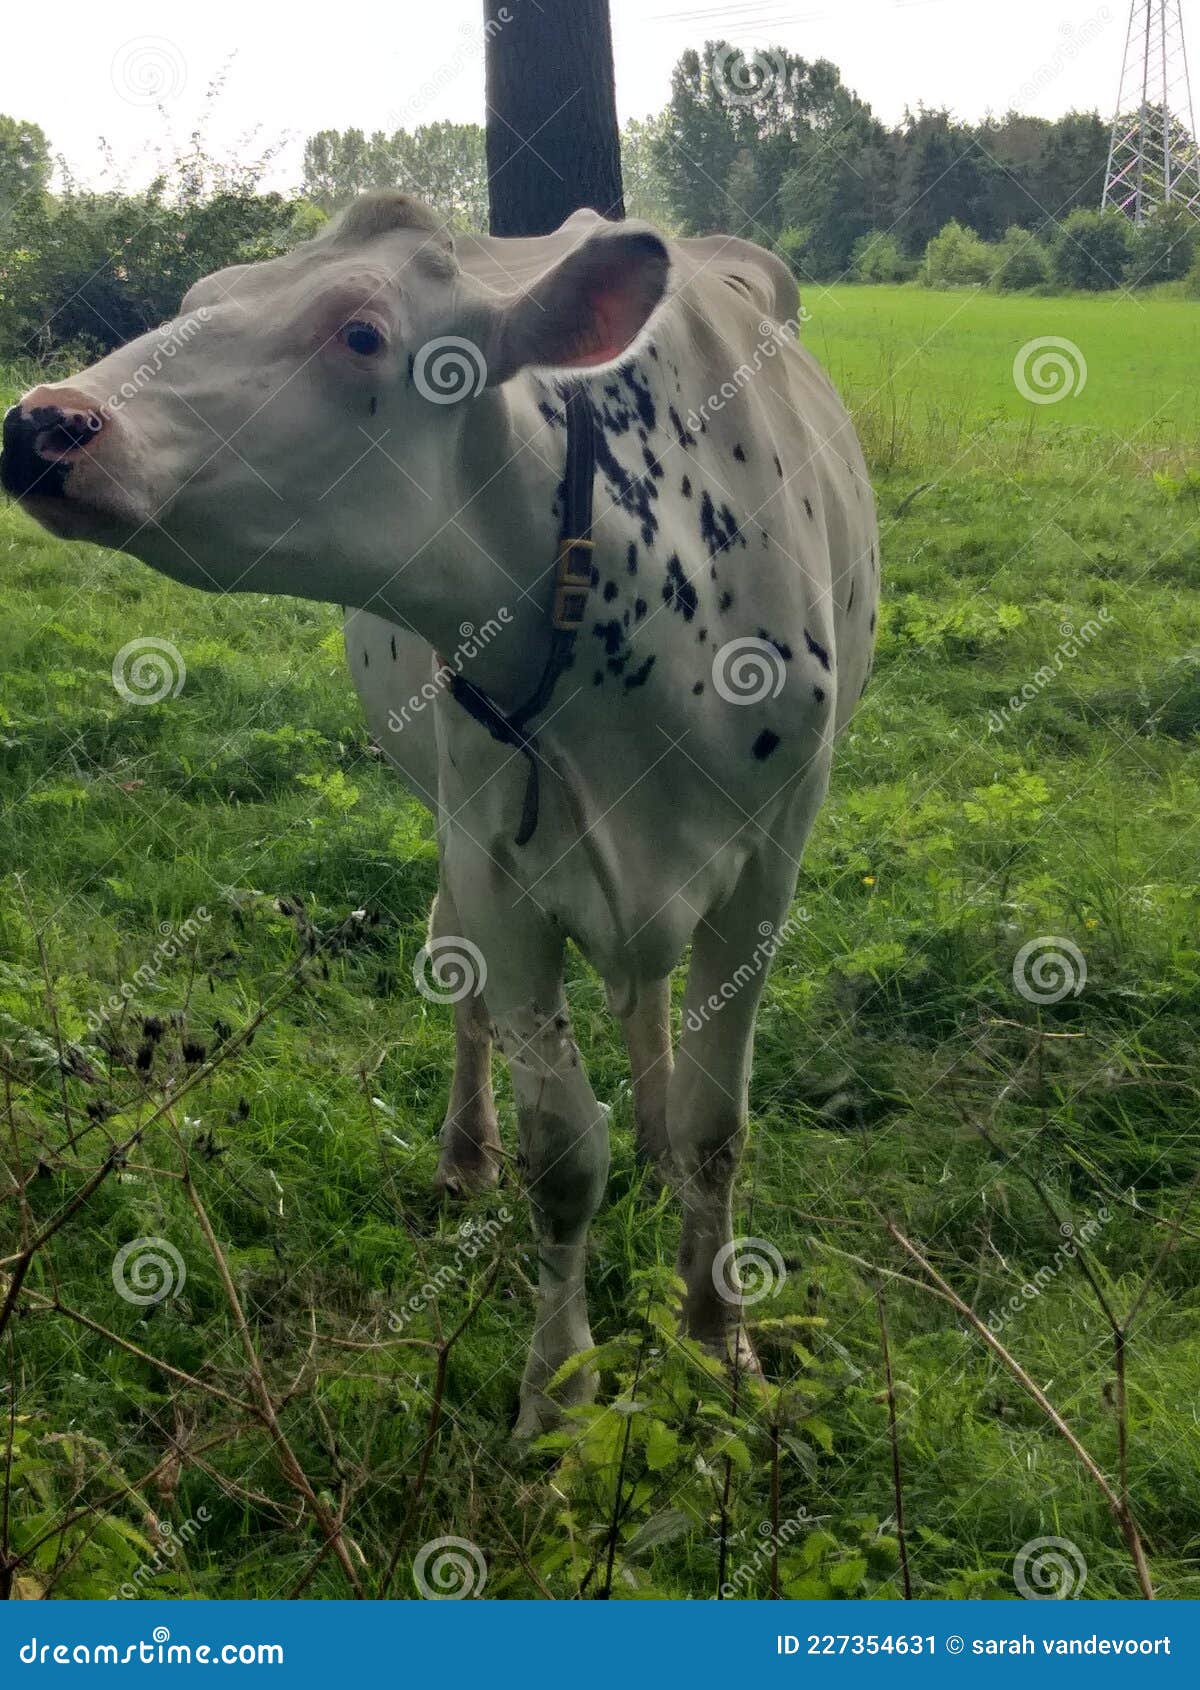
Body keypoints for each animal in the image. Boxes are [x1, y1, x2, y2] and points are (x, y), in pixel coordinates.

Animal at [0, 190, 879, 1435]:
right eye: (198, 303)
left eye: (363, 333)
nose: (40, 423)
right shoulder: (499, 865)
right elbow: (562, 1152)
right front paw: (559, 1389)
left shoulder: (767, 868)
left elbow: (717, 1127)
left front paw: (719, 1338)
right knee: (461, 973)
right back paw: (471, 1151)